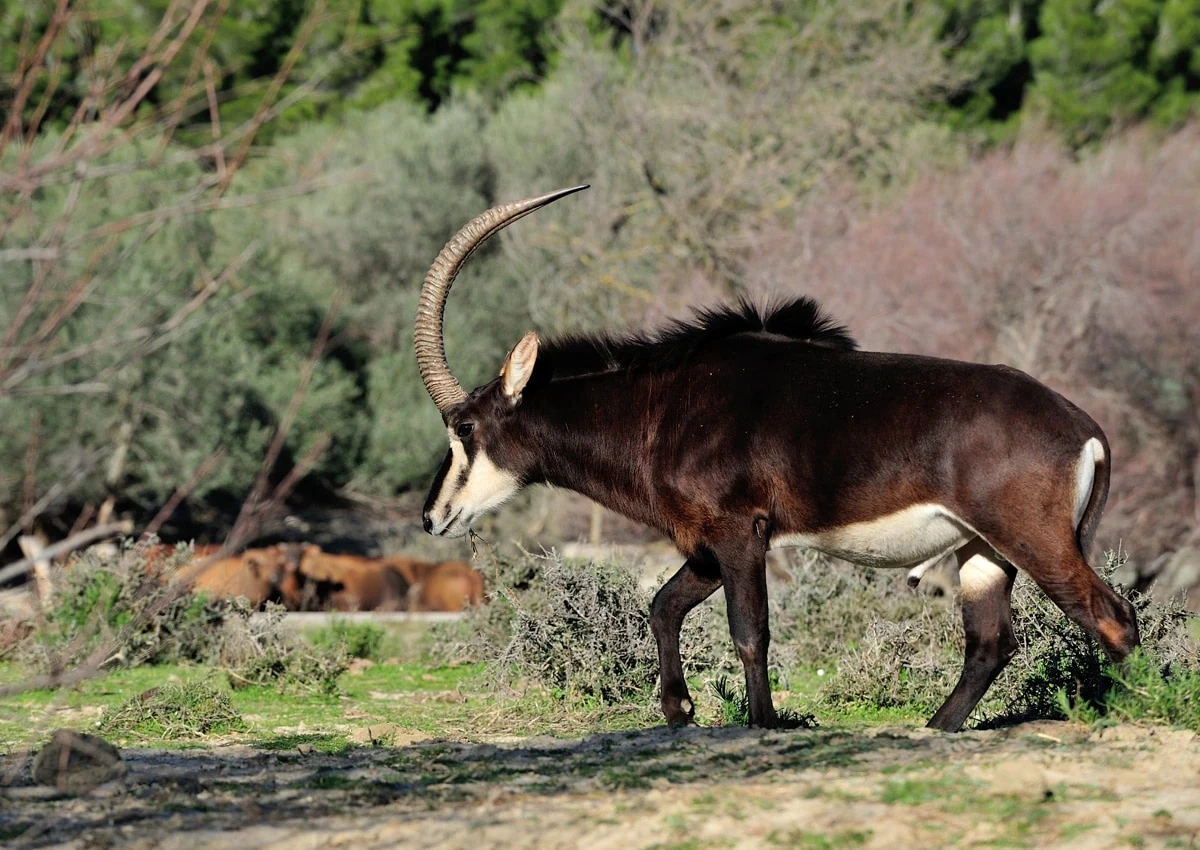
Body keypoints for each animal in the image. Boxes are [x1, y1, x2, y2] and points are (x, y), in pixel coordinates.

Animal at [414, 186, 1140, 731]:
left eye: (466, 426)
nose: (431, 518)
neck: (664, 402)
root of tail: (1084, 428)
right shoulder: (708, 542)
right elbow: (663, 606)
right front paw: (680, 711)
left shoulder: (740, 533)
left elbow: (749, 631)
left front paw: (762, 723)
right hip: (982, 550)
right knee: (991, 642)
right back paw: (935, 728)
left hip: (1033, 538)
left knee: (1110, 615)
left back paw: (1125, 707)